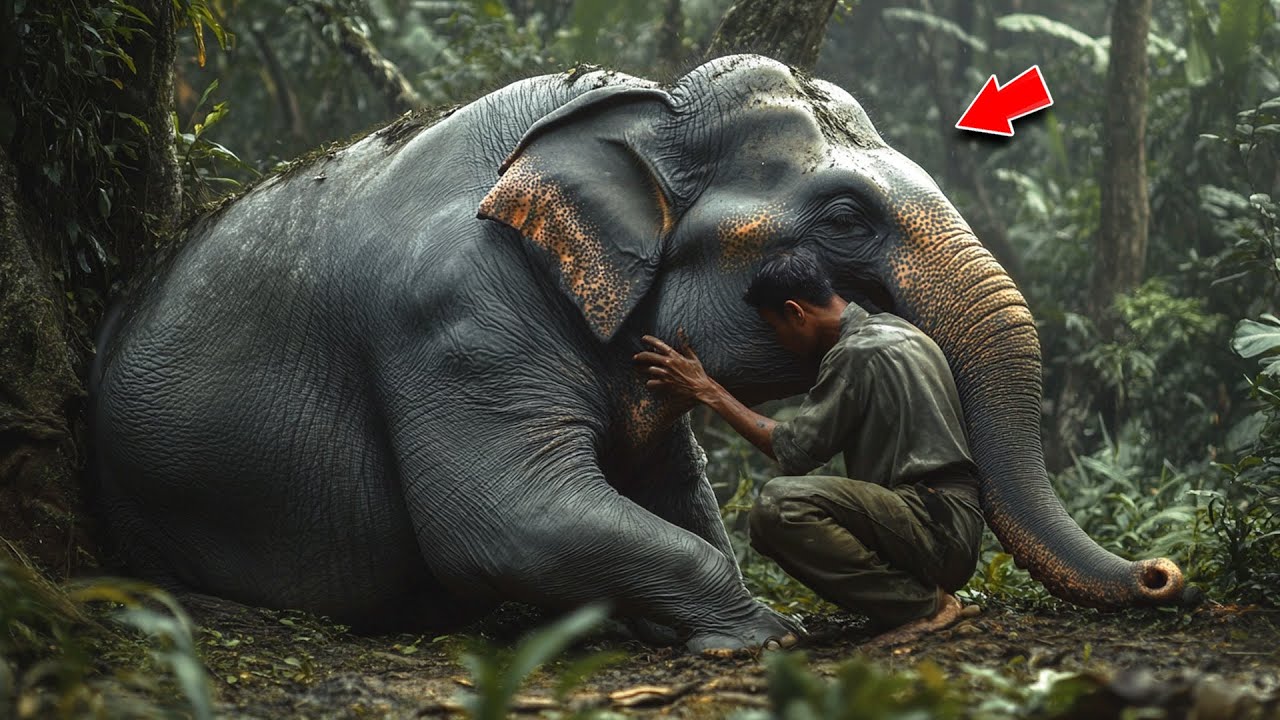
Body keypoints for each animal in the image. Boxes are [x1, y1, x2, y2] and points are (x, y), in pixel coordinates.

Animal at [90, 55, 1185, 651]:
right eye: (843, 215)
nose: (1157, 576)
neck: (639, 107)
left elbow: (674, 490)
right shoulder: (455, 319)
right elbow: (499, 517)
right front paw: (760, 634)